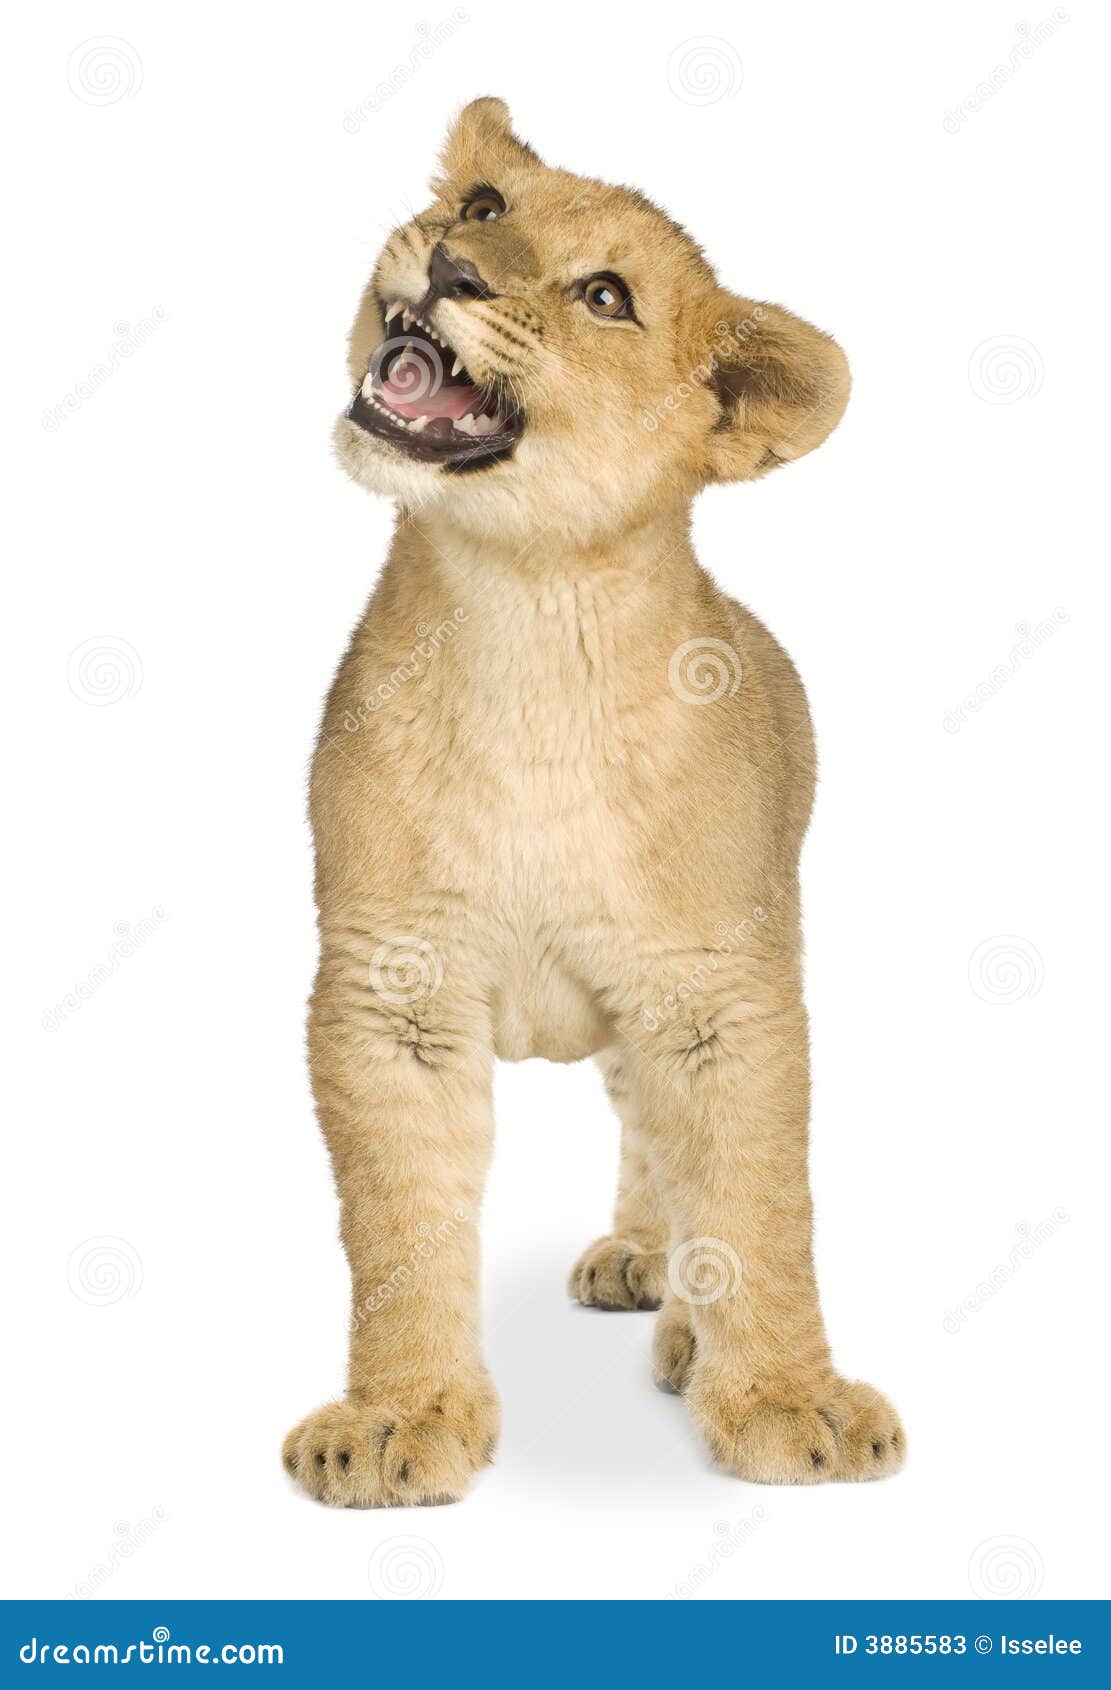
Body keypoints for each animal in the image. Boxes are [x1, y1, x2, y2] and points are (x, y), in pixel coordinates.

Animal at [283, 97, 904, 1505]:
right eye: (483, 208)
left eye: (606, 296)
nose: (450, 265)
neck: (521, 609)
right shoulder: (390, 988)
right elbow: (399, 1229)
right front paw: (397, 1419)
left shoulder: (722, 991)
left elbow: (755, 1204)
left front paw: (789, 1398)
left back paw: (677, 1318)